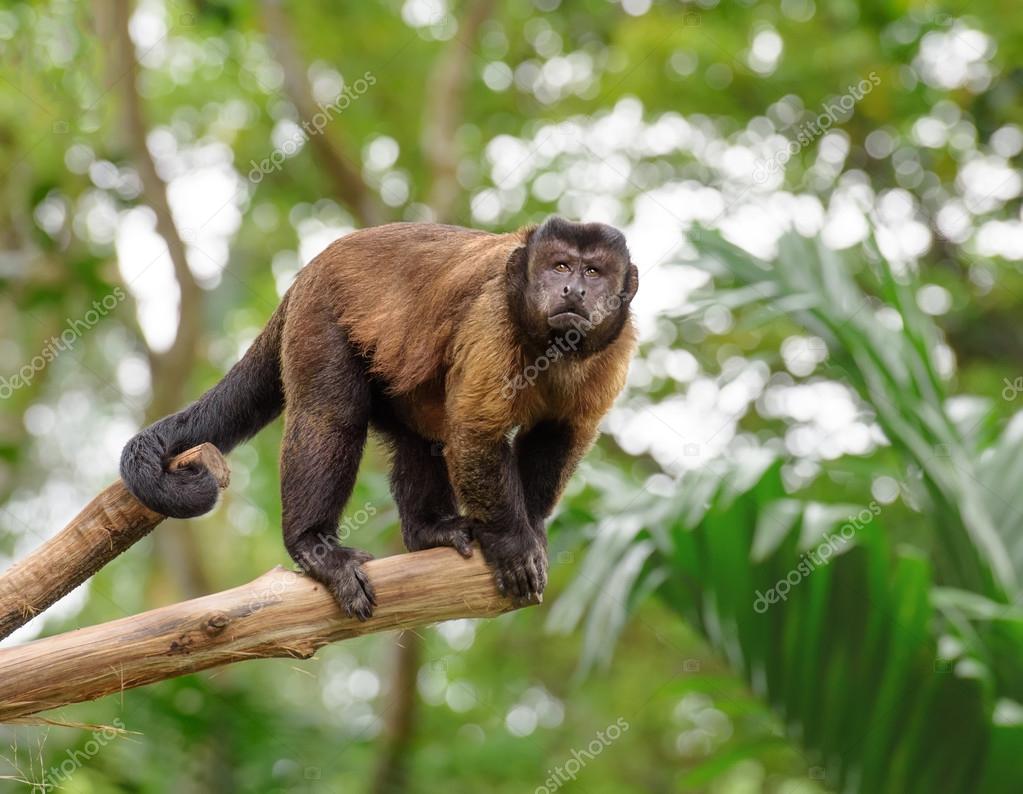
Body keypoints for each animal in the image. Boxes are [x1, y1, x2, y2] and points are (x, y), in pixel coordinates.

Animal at [120, 217, 639, 620]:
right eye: (559, 266)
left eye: (594, 271)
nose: (574, 289)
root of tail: (308, 272)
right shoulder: (494, 318)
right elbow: (475, 433)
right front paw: (513, 544)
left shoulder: (615, 347)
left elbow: (561, 435)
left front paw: (531, 529)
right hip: (318, 314)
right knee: (332, 417)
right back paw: (314, 547)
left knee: (424, 432)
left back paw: (428, 531)